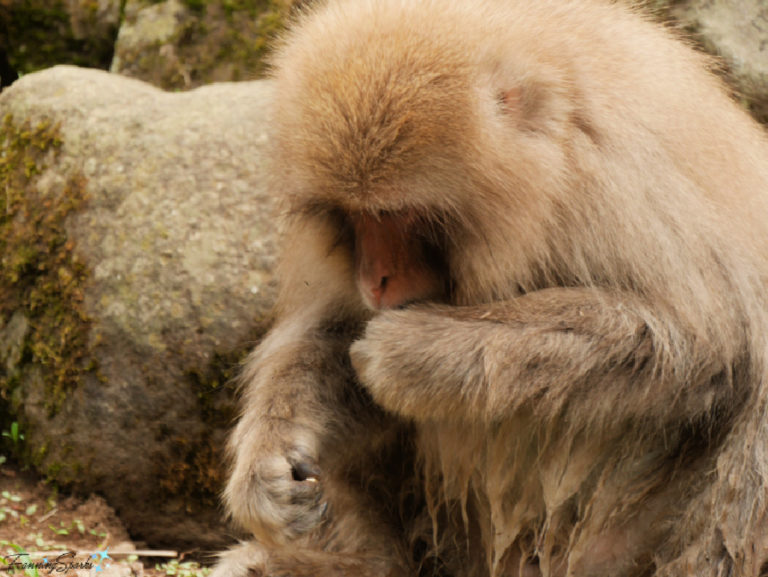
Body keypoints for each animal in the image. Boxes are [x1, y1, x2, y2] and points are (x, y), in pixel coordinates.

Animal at [214, 0, 768, 575]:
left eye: (399, 214)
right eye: (354, 215)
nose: (374, 278)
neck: (551, 173)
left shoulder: (624, 182)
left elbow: (700, 343)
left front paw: (417, 352)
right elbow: (333, 331)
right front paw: (270, 458)